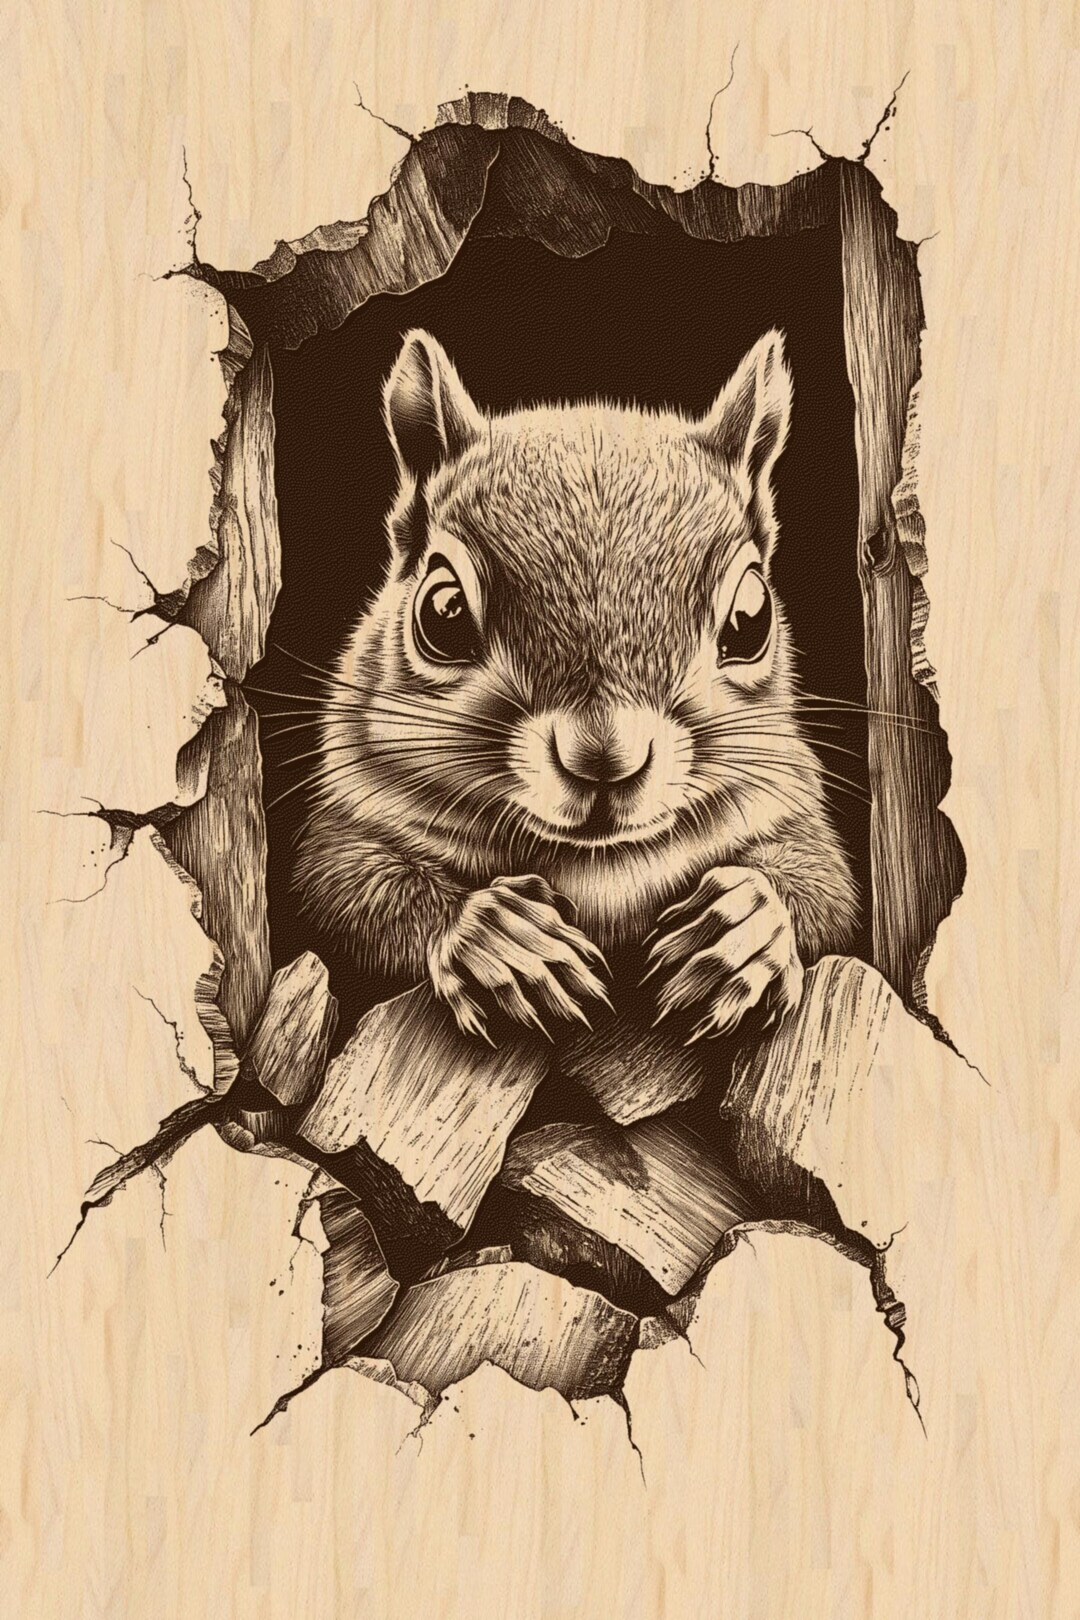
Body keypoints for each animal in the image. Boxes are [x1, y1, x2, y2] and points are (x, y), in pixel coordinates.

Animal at [293, 327, 858, 1049]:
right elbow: (344, 892)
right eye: (442, 612)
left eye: (750, 617)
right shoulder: (349, 814)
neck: (598, 868)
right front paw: (500, 941)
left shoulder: (785, 799)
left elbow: (825, 891)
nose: (605, 757)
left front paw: (745, 930)